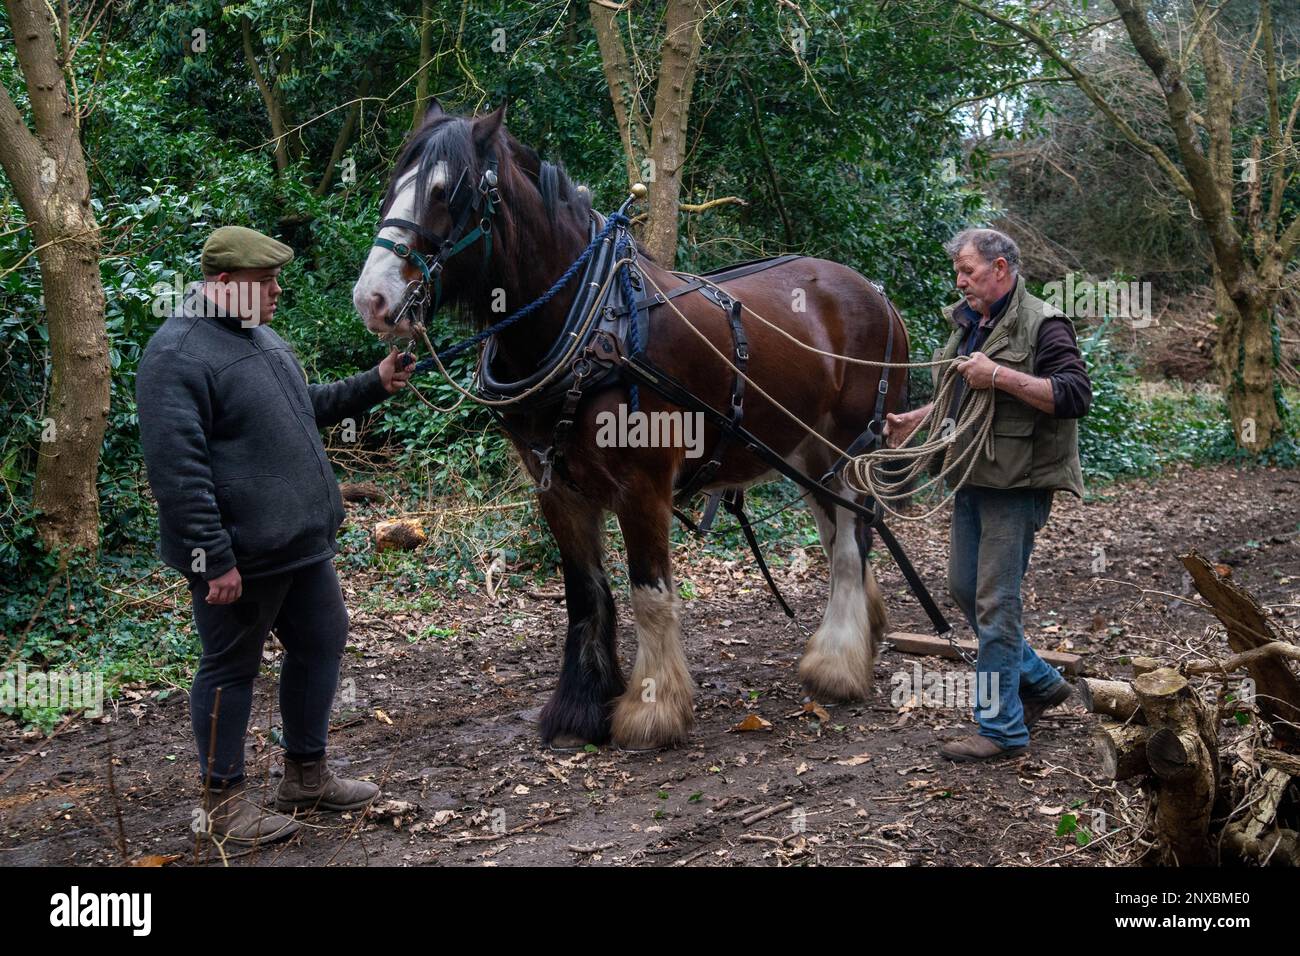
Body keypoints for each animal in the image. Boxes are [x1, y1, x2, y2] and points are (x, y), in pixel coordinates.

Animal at [352, 102, 909, 751]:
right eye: (393, 188)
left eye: (447, 193)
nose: (371, 299)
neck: (593, 325)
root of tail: (876, 293)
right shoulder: (556, 488)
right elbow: (584, 593)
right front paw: (580, 707)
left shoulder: (644, 486)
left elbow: (648, 594)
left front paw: (653, 709)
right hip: (808, 457)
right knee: (841, 536)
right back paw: (863, 632)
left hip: (848, 448)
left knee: (849, 547)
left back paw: (837, 665)